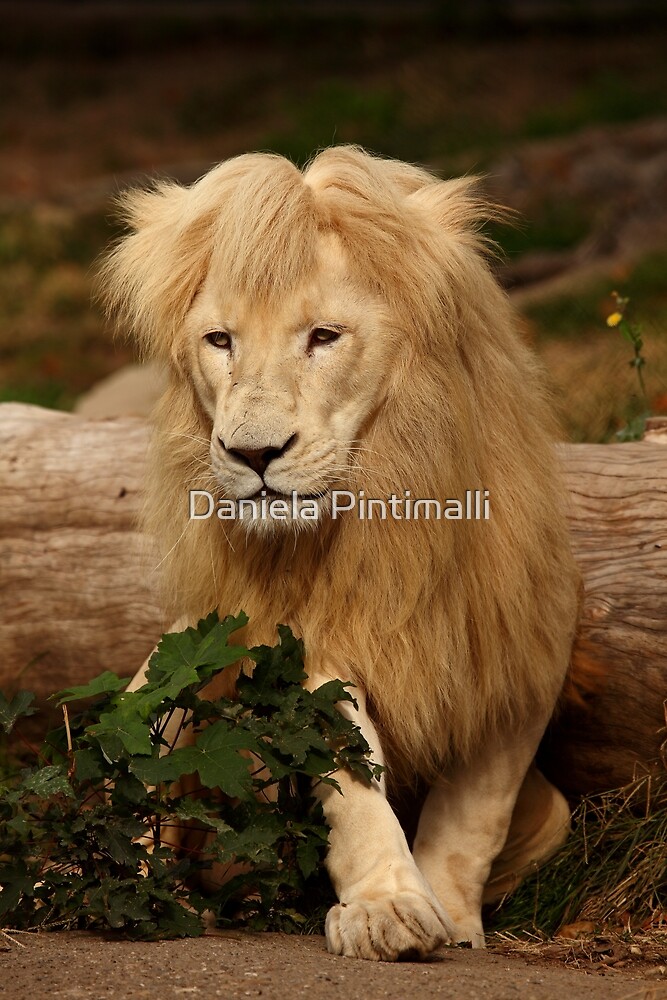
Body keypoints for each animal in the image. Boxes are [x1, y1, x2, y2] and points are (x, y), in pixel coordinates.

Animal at [99, 145, 581, 961]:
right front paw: (387, 907)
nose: (252, 453)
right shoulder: (305, 639)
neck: (390, 508)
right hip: (163, 686)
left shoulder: (523, 646)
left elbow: (473, 809)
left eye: (324, 336)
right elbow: (350, 770)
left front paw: (452, 917)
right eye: (220, 341)